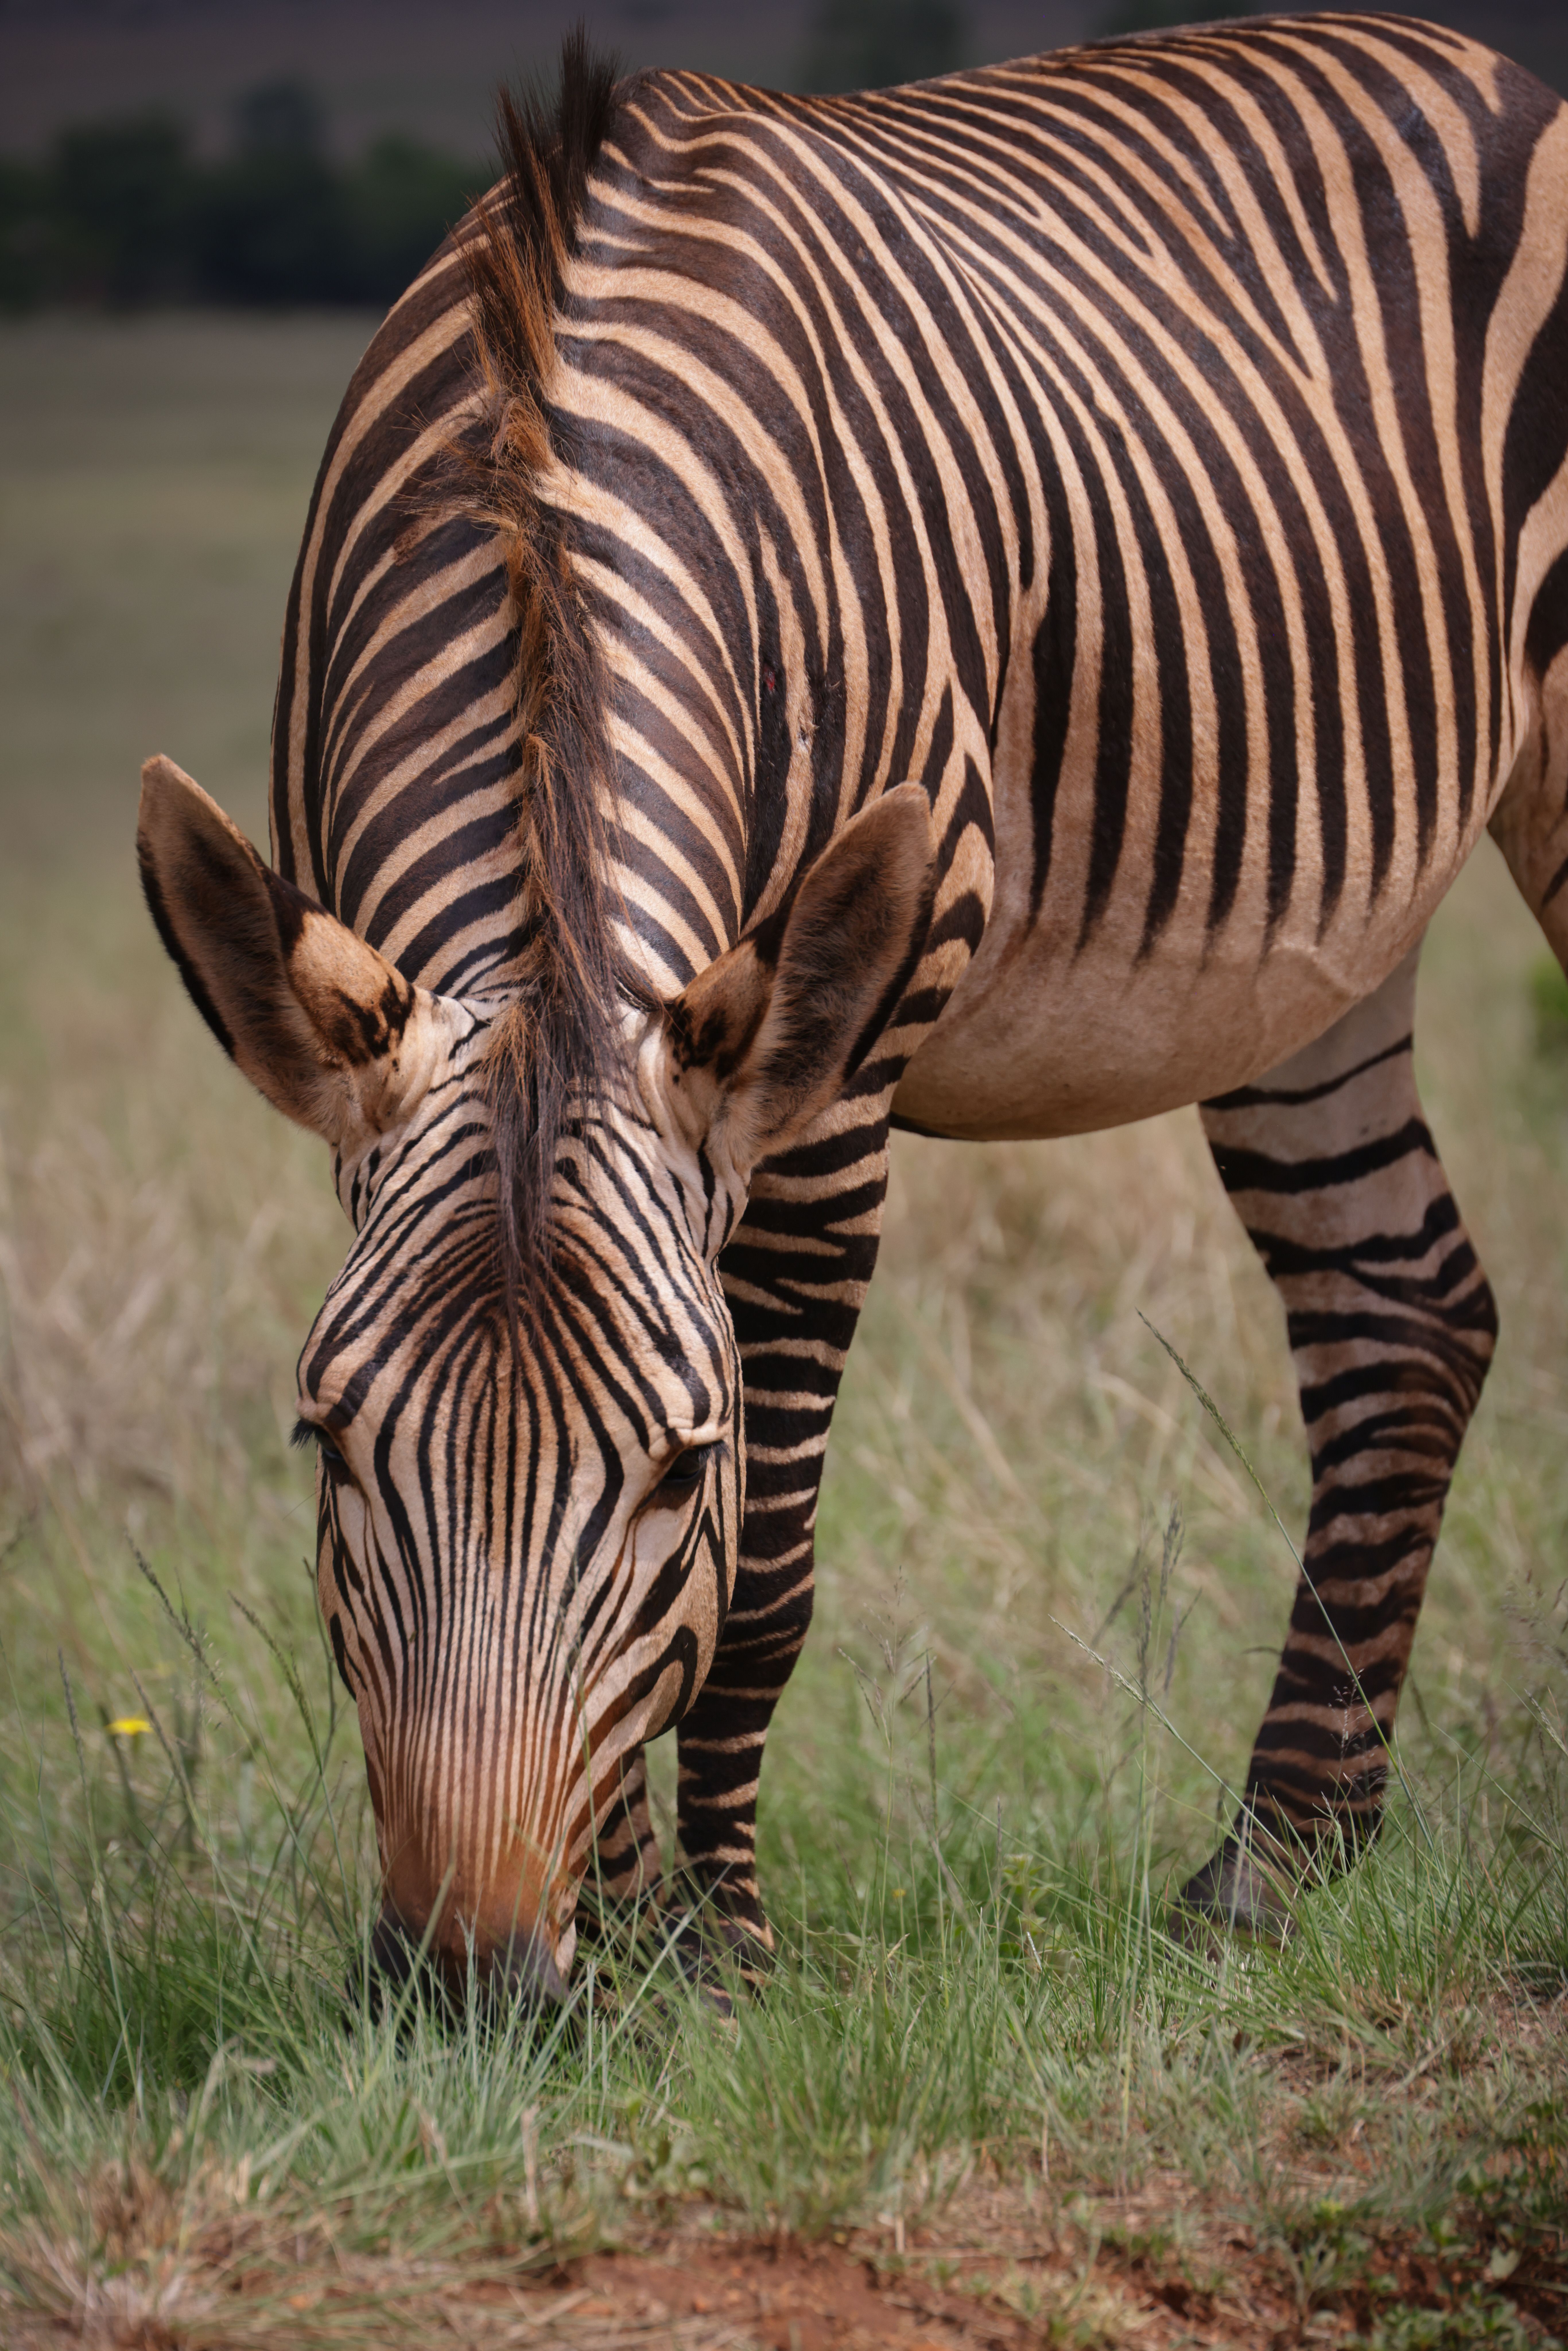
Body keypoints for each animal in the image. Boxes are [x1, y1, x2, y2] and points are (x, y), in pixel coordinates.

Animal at [137, 14, 1568, 1994]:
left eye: (682, 1468)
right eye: (323, 1439)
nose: (472, 1982)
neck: (540, 456)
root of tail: (1473, 52)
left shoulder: (820, 1099)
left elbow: (767, 1582)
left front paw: (712, 1958)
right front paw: (628, 1943)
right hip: (1316, 951)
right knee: (1400, 1311)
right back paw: (1281, 1856)